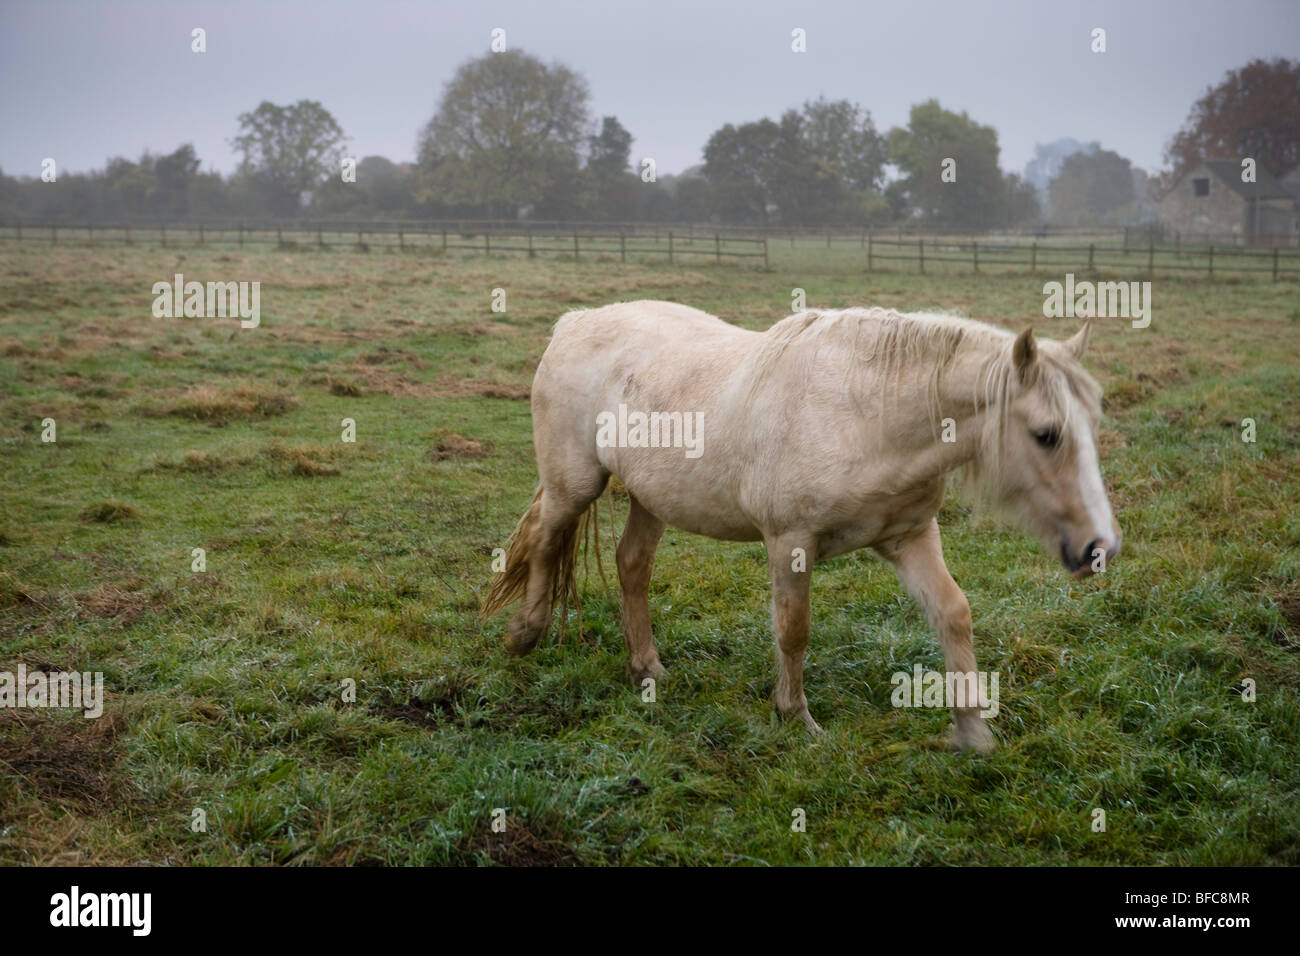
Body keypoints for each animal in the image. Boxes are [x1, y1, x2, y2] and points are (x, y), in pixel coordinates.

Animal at [481, 301, 1121, 752]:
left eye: (1092, 423)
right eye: (1046, 434)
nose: (1100, 548)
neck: (866, 412)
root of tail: (573, 323)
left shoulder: (910, 536)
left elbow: (954, 614)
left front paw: (971, 731)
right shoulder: (789, 542)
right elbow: (794, 630)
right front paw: (796, 718)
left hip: (650, 497)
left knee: (631, 565)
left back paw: (648, 667)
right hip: (574, 484)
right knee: (545, 541)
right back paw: (525, 635)